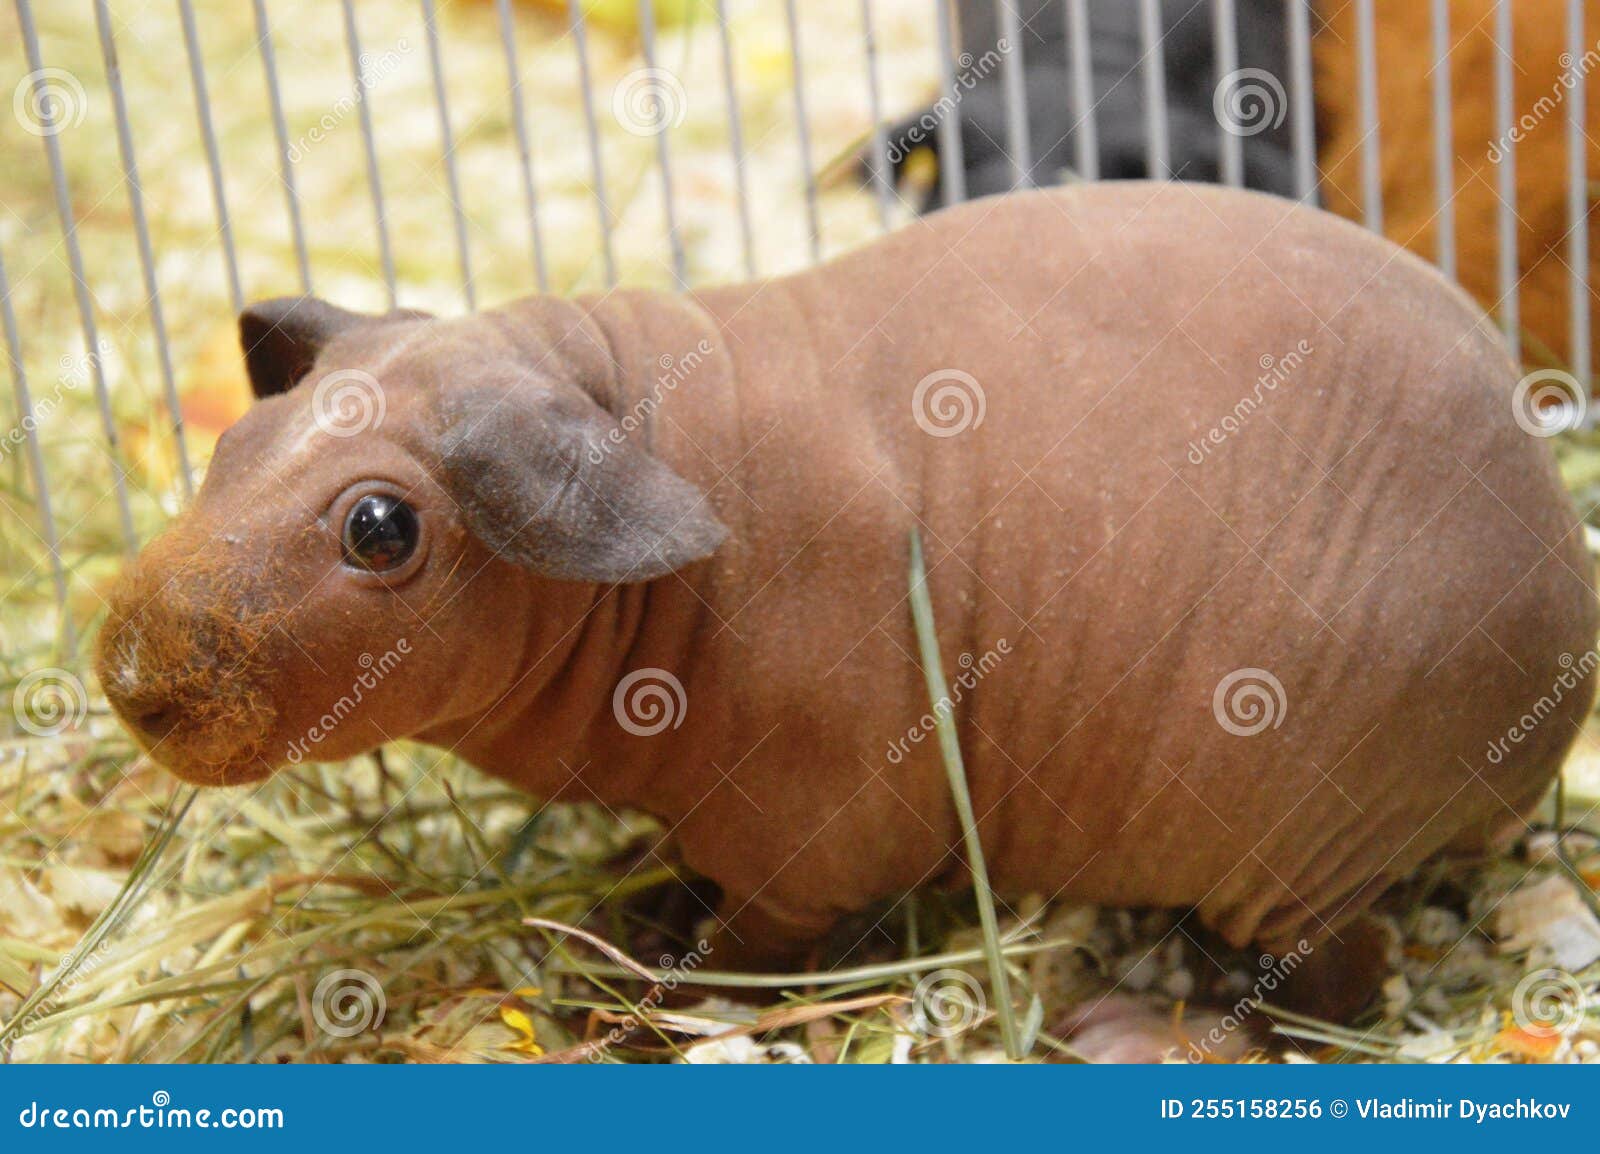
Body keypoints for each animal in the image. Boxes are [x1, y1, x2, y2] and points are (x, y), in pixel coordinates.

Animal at [97, 182, 1596, 977]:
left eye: (380, 528)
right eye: (235, 441)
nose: (126, 669)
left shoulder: (810, 852)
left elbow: (738, 944)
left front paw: (631, 977)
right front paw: (632, 893)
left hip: (1291, 860)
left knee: (1326, 989)